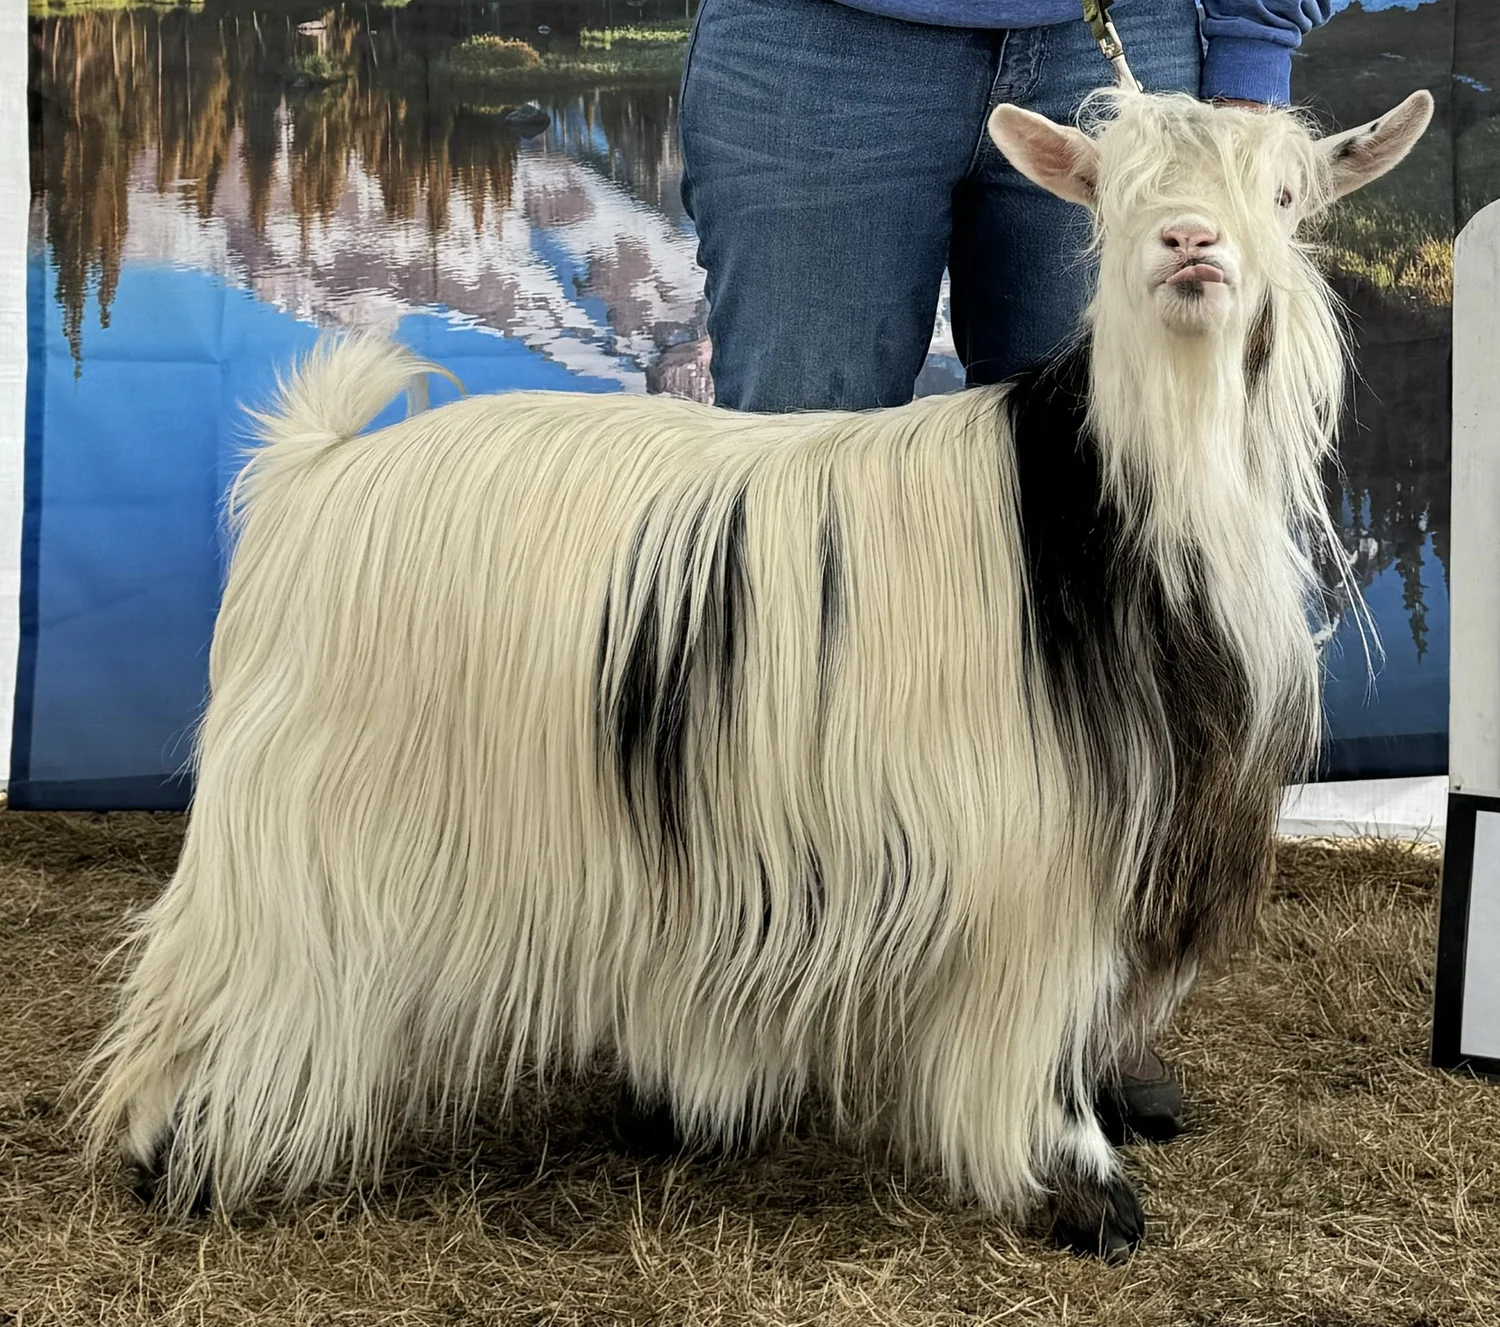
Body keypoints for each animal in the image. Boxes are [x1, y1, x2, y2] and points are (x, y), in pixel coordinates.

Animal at [85, 87, 1433, 1259]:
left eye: (1285, 194)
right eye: (1111, 192)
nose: (1190, 243)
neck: (1114, 508)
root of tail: (313, 475)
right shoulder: (1042, 856)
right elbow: (1035, 1042)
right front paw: (1082, 1192)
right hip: (303, 804)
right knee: (216, 964)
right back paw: (172, 1157)